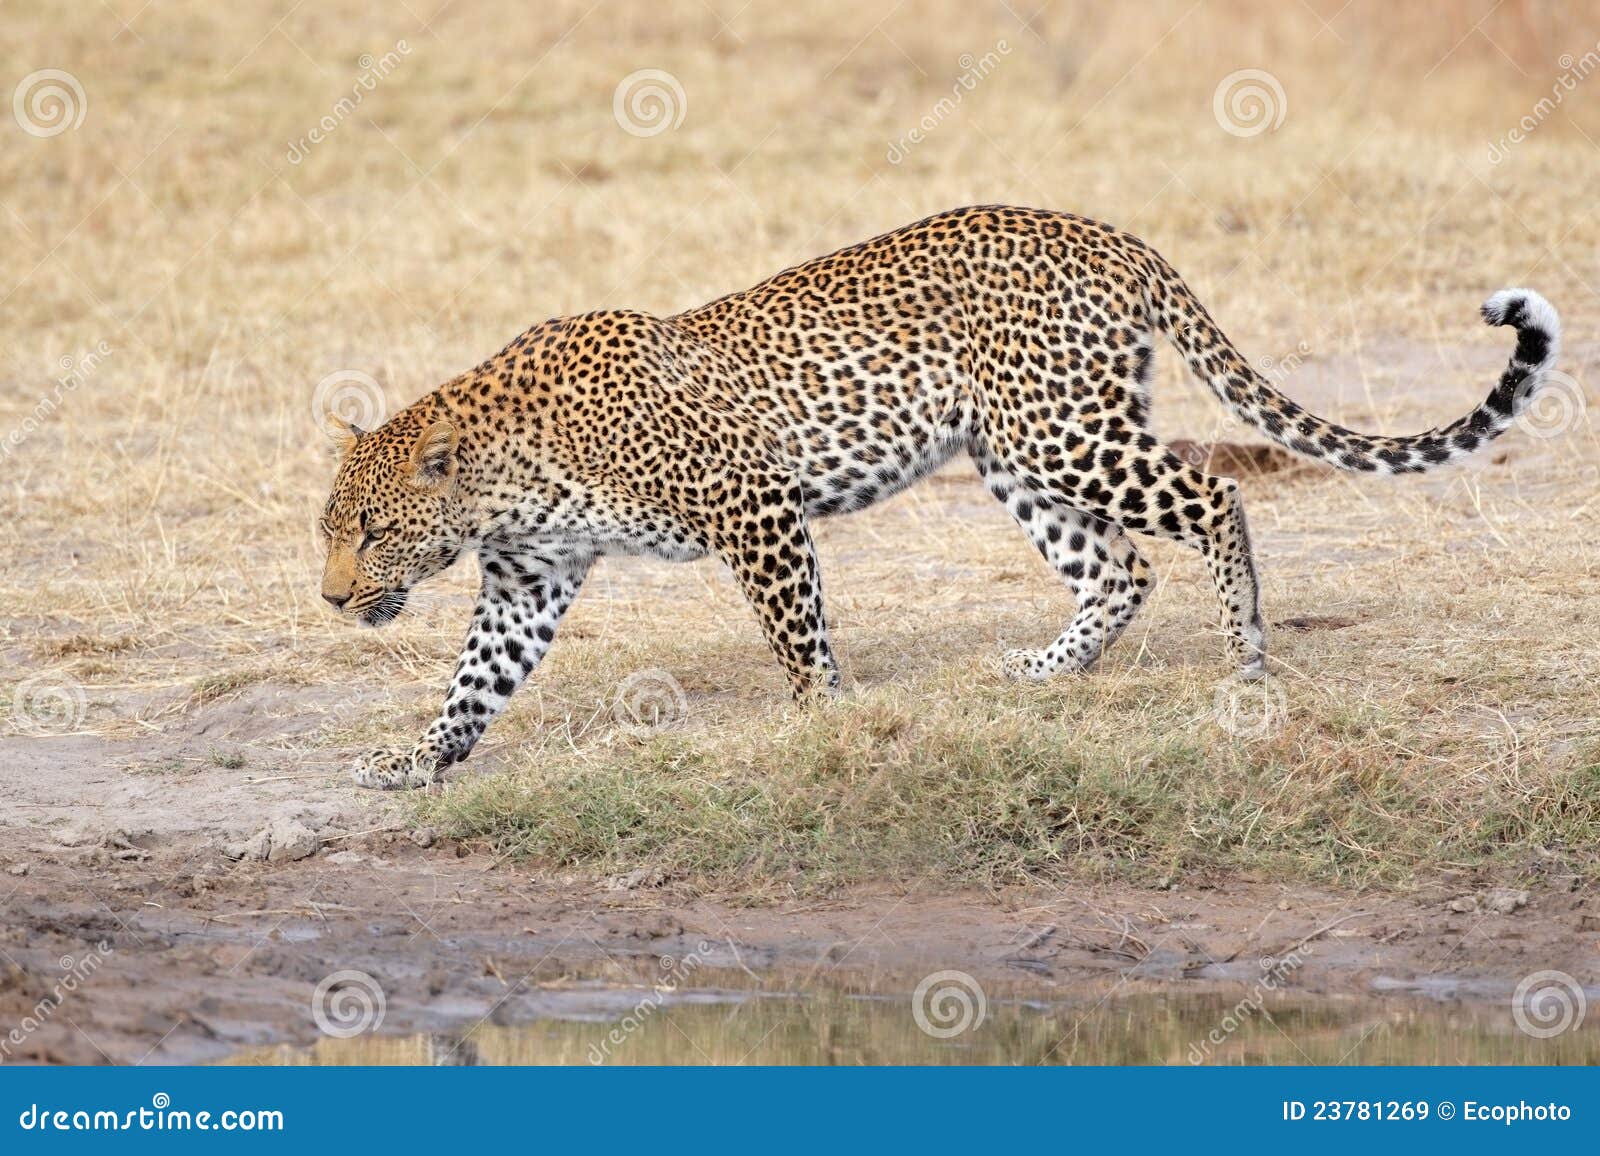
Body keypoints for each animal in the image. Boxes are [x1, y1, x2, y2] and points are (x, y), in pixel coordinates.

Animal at [317, 205, 1561, 789]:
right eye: (330, 533)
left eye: (370, 531)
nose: (330, 600)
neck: (500, 479)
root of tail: (1110, 234)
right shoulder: (529, 580)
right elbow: (473, 684)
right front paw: (415, 762)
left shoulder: (753, 510)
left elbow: (797, 638)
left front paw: (826, 727)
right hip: (1015, 451)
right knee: (1119, 566)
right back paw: (1043, 672)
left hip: (1064, 432)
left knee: (1211, 498)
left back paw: (1245, 657)